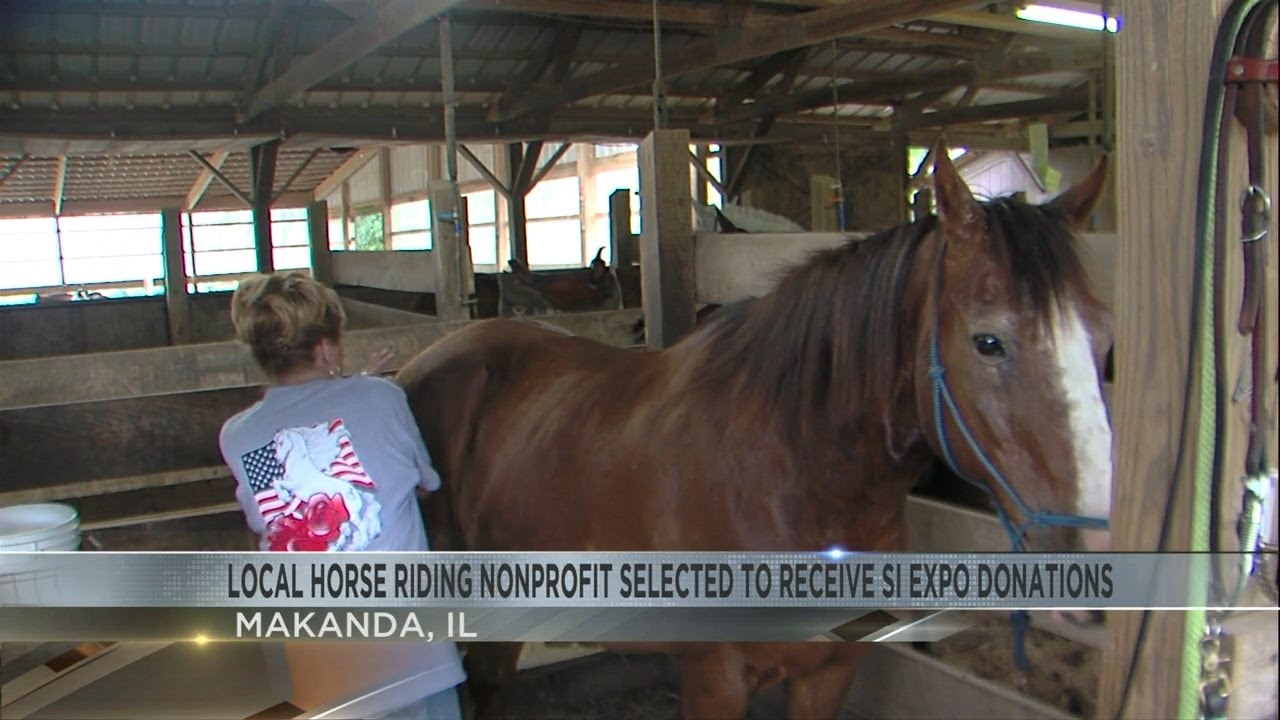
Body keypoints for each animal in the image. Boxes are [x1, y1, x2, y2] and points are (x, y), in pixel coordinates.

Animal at [396, 142, 1113, 719]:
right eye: (988, 341)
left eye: (1104, 344)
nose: (1093, 557)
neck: (794, 477)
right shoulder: (716, 678)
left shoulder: (828, 673)